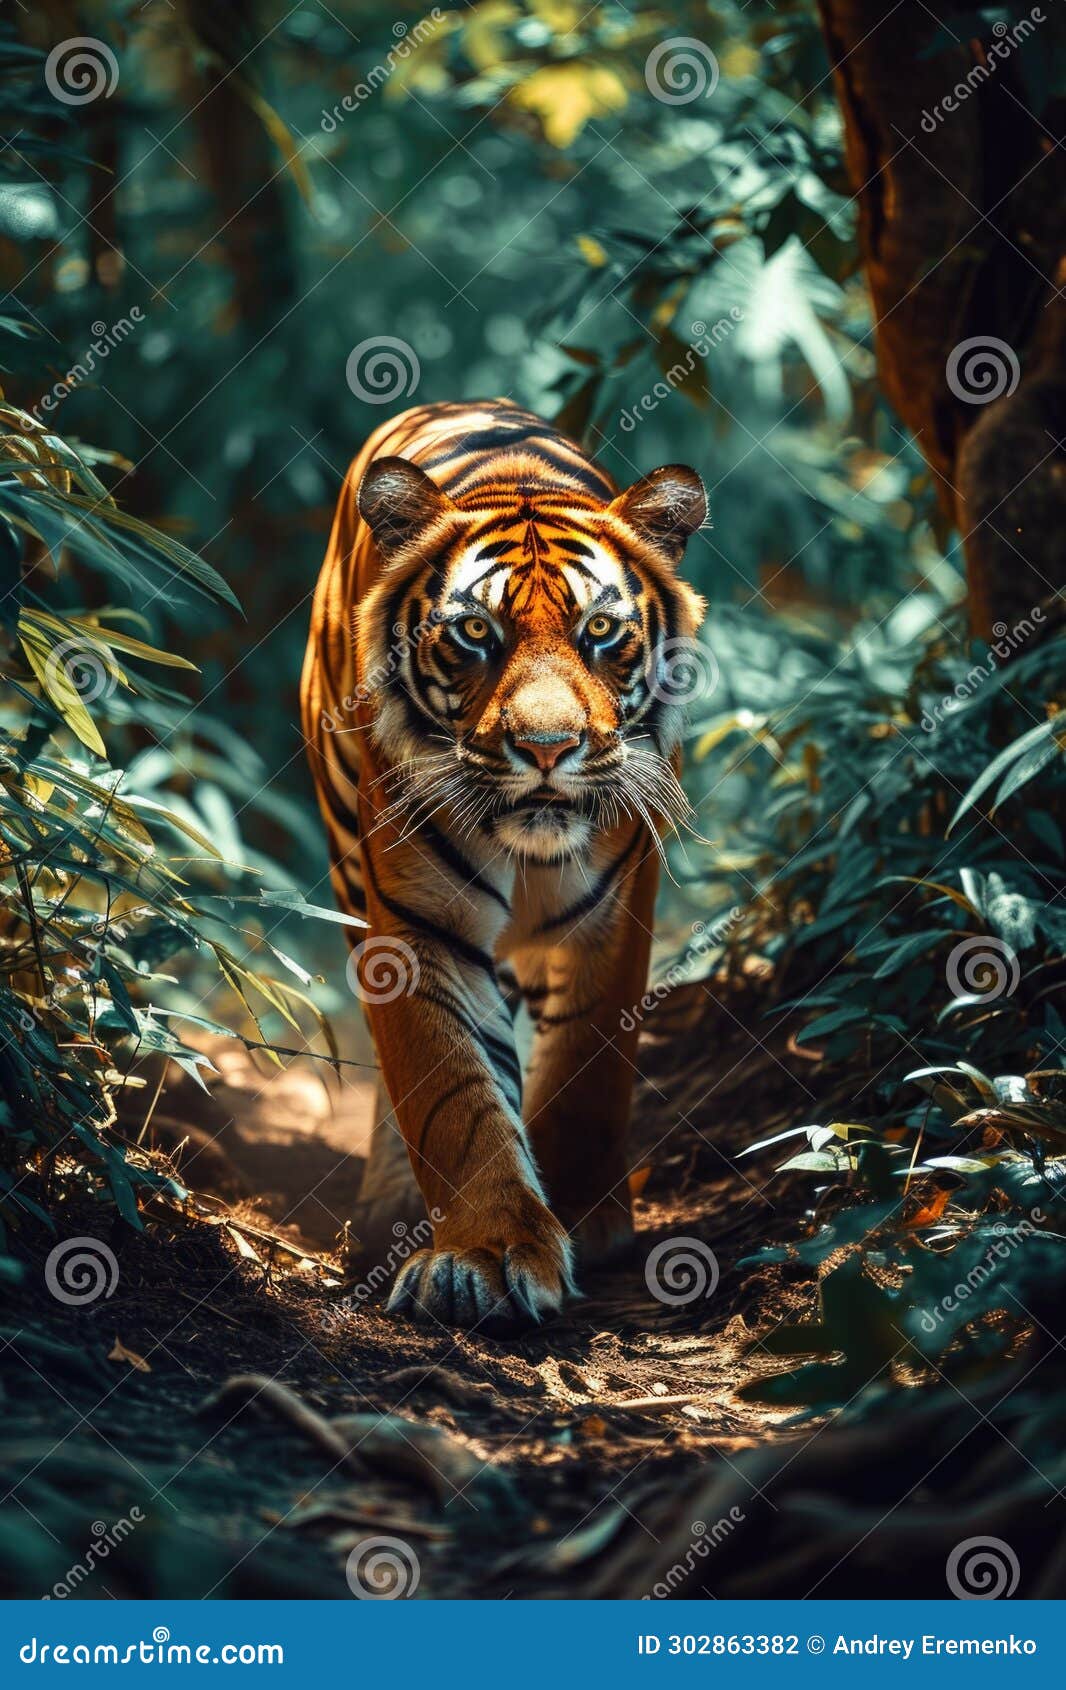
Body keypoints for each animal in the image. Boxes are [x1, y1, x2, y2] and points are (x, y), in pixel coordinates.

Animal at [301, 399, 706, 1332]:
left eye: (601, 631)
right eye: (476, 632)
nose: (548, 747)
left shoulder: (619, 912)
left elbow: (592, 1062)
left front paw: (588, 1222)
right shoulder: (417, 927)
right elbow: (451, 1093)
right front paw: (481, 1257)